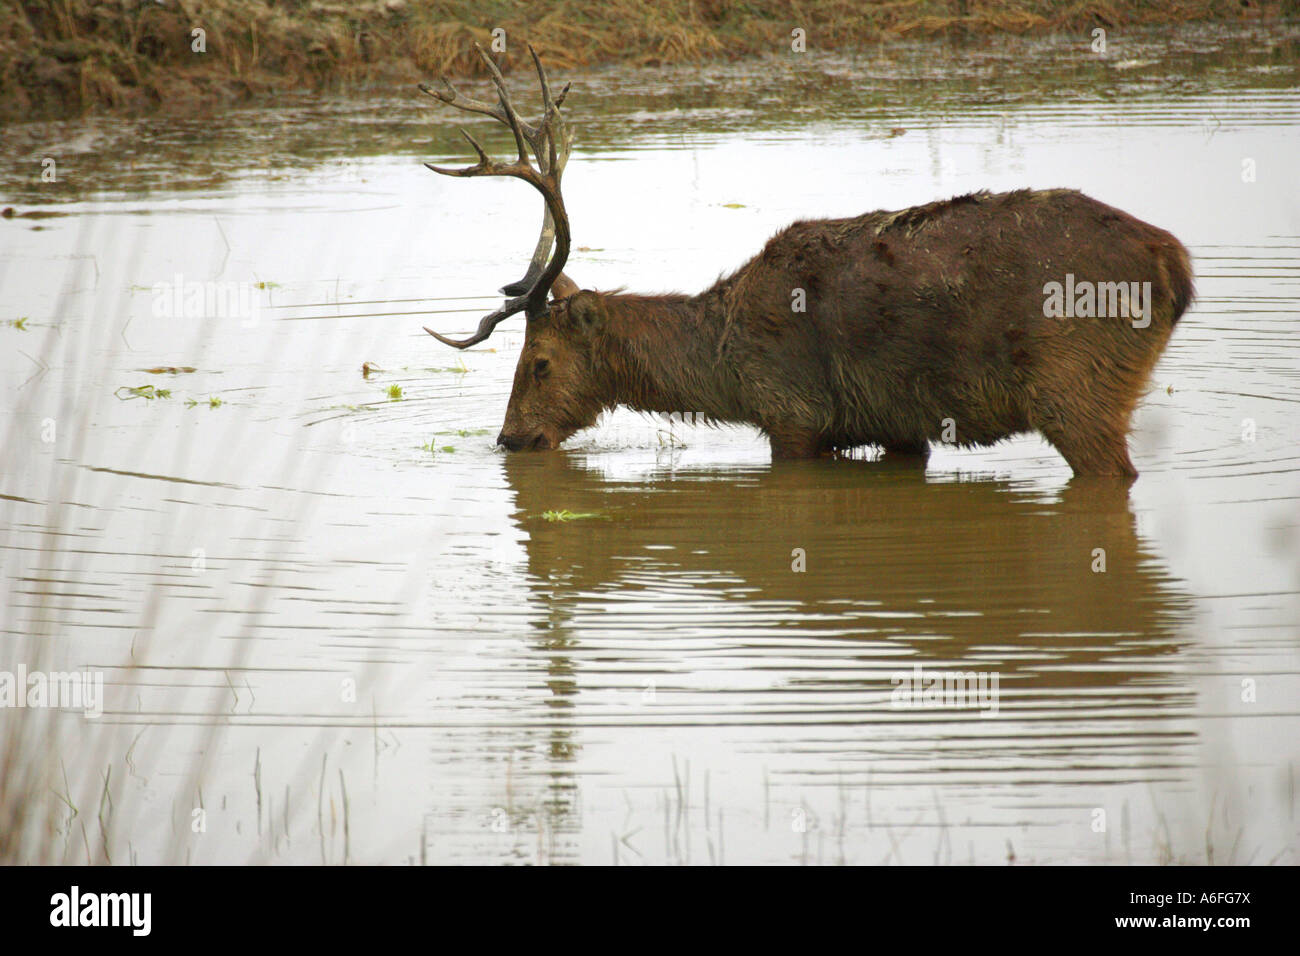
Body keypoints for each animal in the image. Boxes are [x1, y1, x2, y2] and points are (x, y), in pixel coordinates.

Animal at [419, 47, 1194, 478]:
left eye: (539, 362)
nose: (512, 438)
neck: (726, 365)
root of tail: (1173, 263)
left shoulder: (792, 412)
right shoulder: (900, 425)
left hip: (1077, 383)